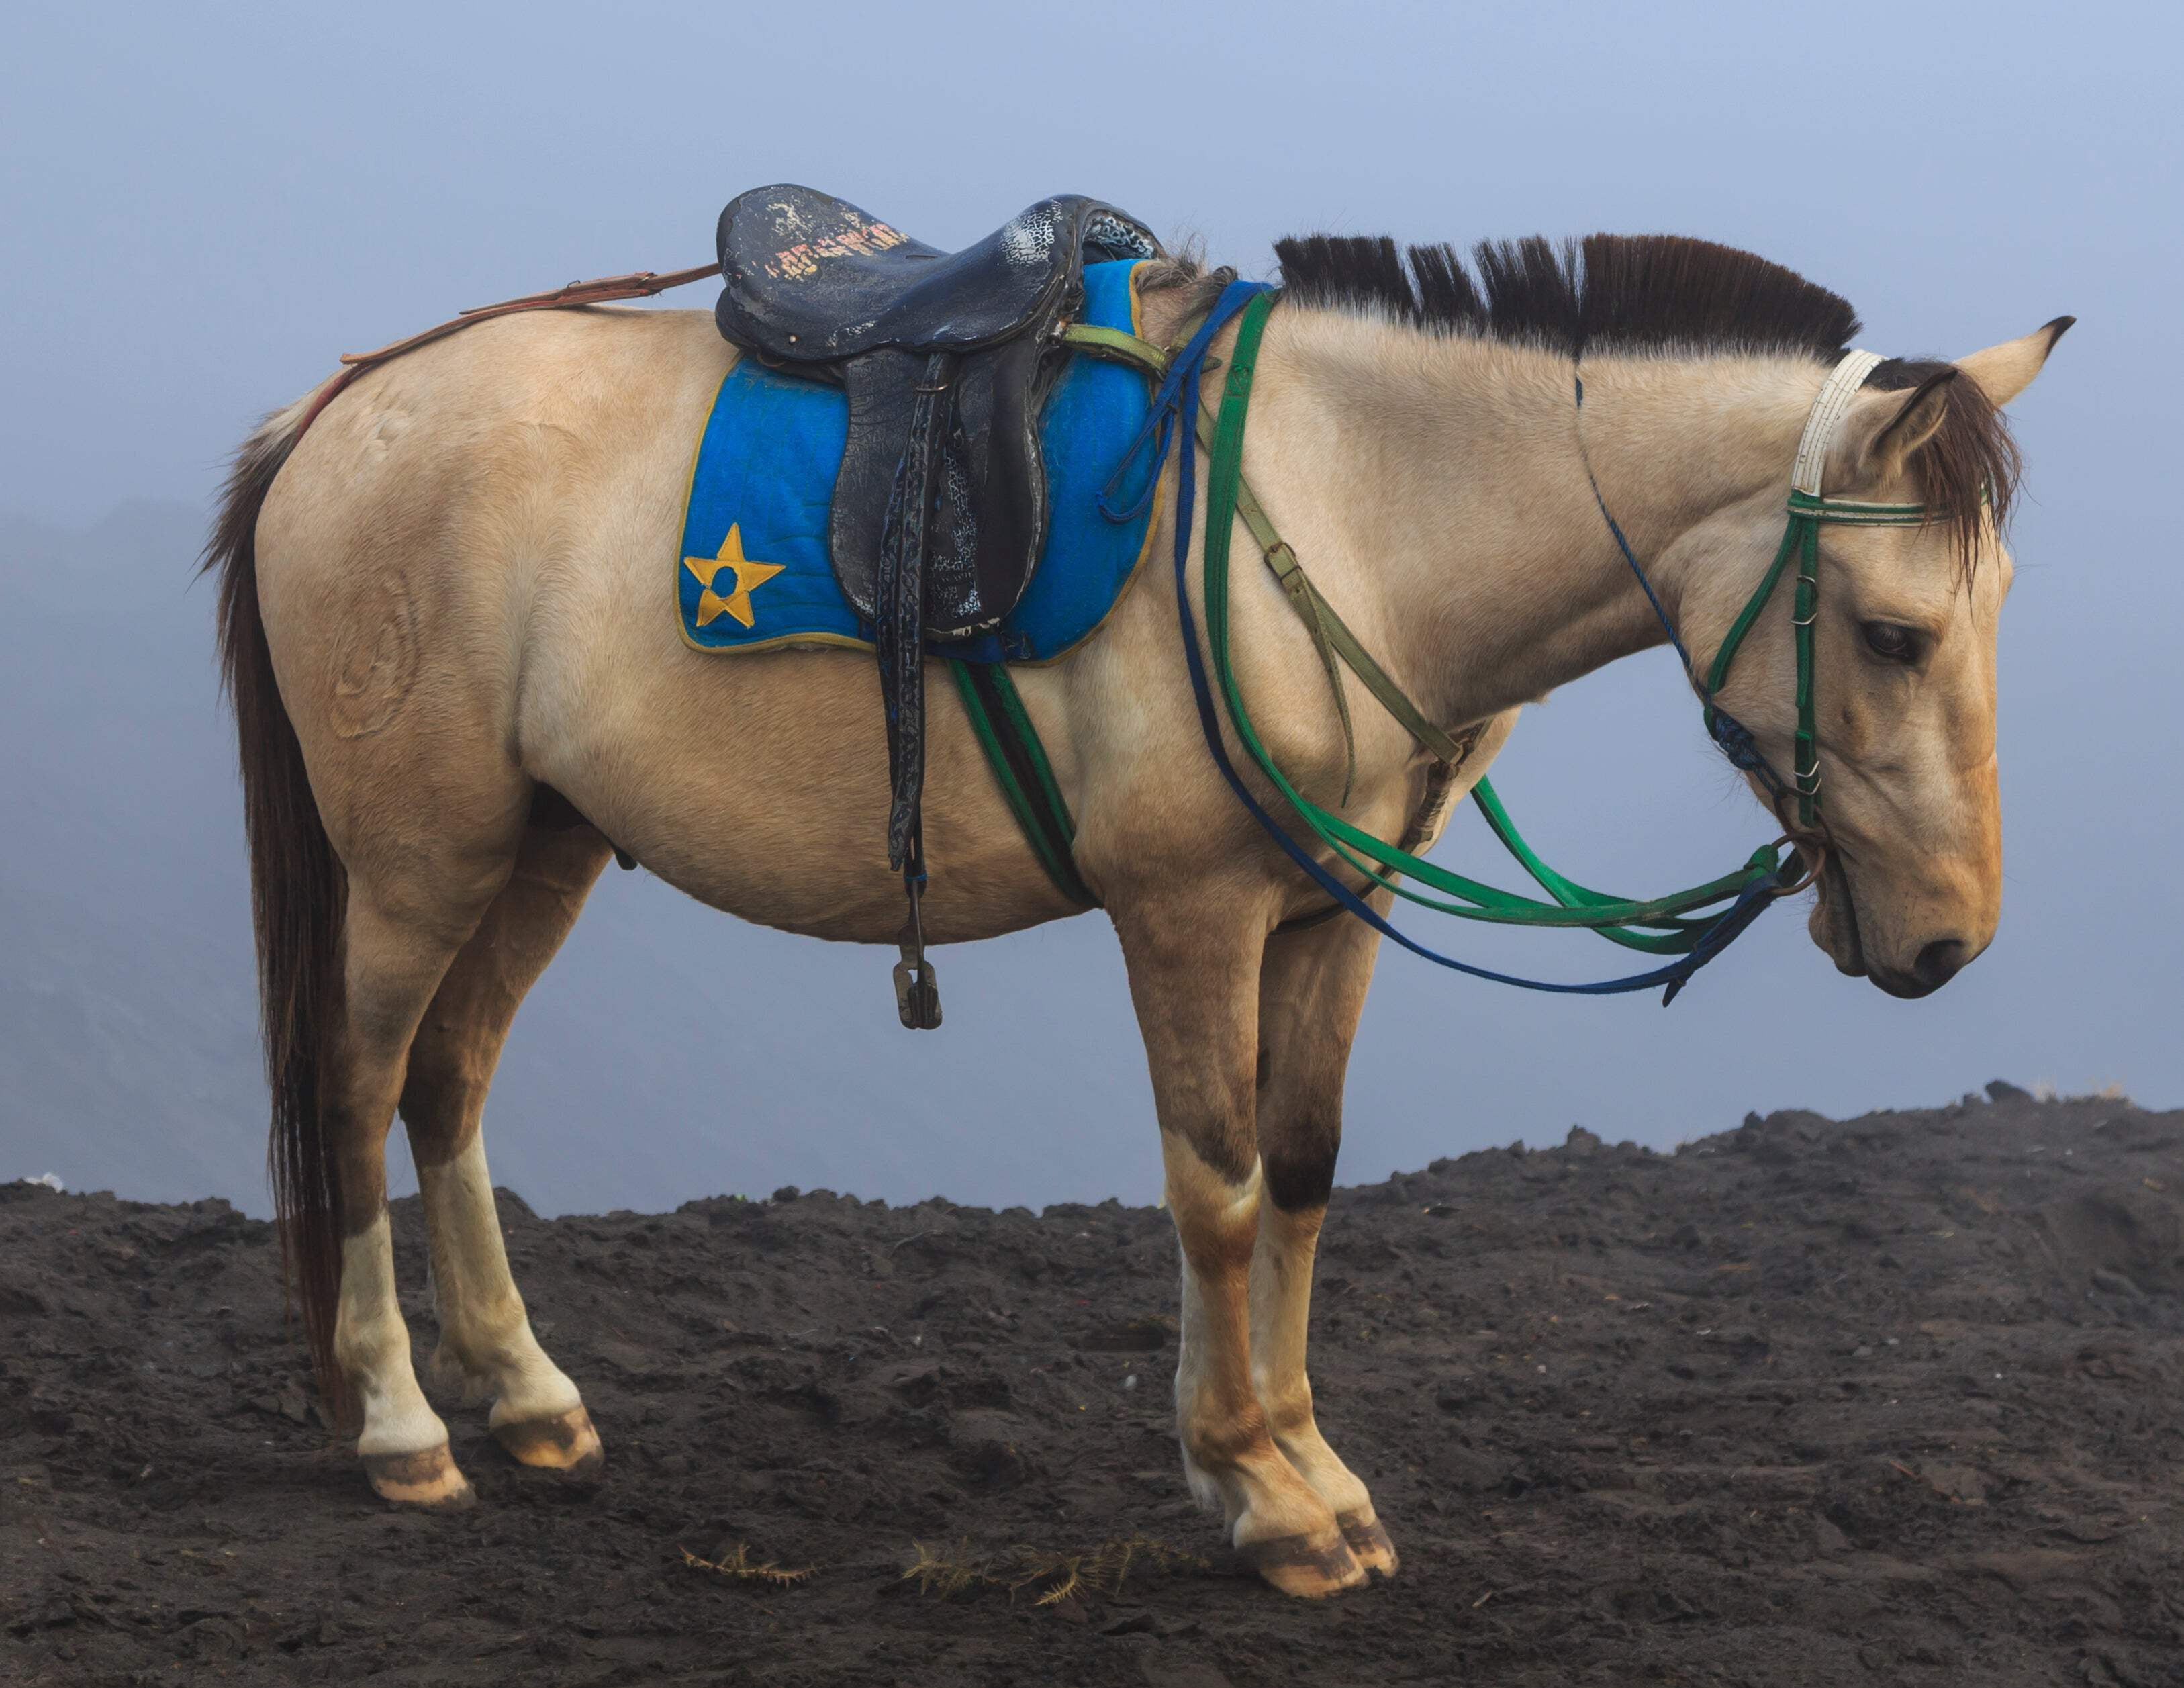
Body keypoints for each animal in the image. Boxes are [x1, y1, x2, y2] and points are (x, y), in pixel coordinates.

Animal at [203, 226, 2065, 1598]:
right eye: (1894, 633)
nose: (1946, 939)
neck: (1347, 511)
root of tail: (336, 410)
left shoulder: (1331, 916)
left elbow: (1303, 1173)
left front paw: (1313, 1462)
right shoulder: (1188, 916)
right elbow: (1218, 1191)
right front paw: (1258, 1493)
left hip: (545, 846)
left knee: (450, 1086)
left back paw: (526, 1400)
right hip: (421, 860)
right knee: (358, 1088)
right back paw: (398, 1426)